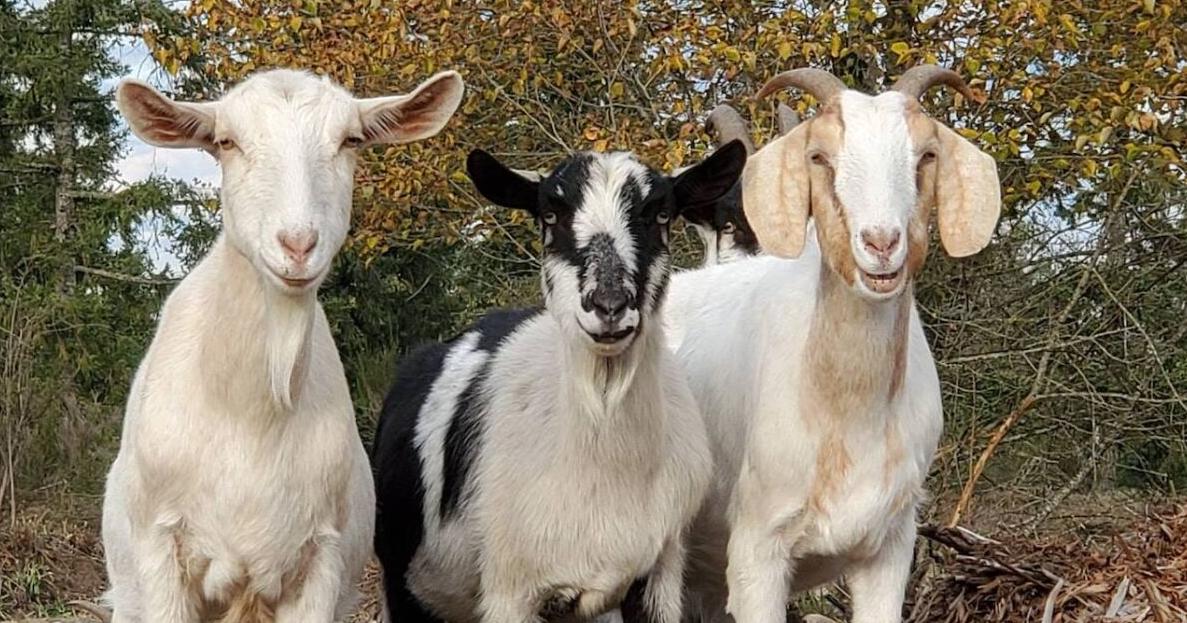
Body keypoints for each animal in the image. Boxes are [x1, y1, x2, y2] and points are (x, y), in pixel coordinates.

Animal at [102, 68, 464, 623]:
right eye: (226, 142)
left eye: (350, 140)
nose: (297, 244)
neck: (252, 413)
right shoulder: (161, 549)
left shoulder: (321, 562)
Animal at [371, 141, 748, 623]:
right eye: (550, 215)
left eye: (661, 214)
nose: (609, 306)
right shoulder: (512, 593)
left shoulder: (657, 571)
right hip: (407, 584)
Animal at [666, 66, 1001, 623]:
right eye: (819, 156)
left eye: (927, 154)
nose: (882, 244)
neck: (847, 414)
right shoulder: (756, 551)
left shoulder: (890, 547)